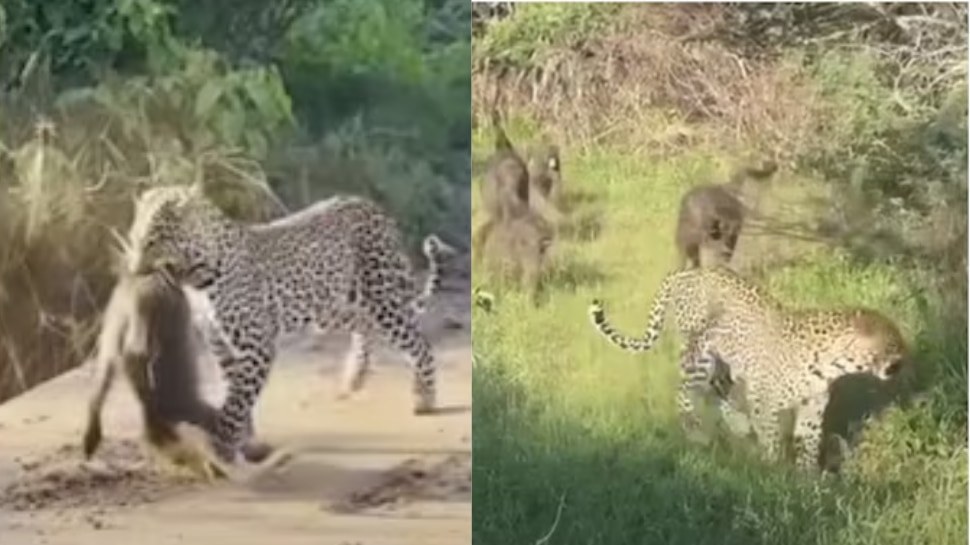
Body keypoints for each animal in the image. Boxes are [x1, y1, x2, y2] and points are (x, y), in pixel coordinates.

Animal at [124, 185, 446, 464]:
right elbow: (238, 395)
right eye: (134, 237)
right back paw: (355, 375)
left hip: (382, 298)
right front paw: (246, 442)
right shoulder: (221, 347)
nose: (133, 269)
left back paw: (424, 397)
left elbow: (236, 402)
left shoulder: (256, 345)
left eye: (152, 239)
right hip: (334, 305)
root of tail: (371, 206)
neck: (196, 276)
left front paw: (223, 449)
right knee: (366, 326)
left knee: (418, 341)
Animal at [587, 265, 908, 472]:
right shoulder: (764, 402)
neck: (830, 365)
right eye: (892, 343)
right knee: (686, 390)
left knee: (720, 393)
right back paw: (697, 431)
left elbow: (808, 446)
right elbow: (771, 440)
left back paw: (737, 427)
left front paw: (808, 483)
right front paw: (773, 472)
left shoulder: (811, 409)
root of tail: (684, 272)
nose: (905, 358)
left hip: (723, 364)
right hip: (700, 355)